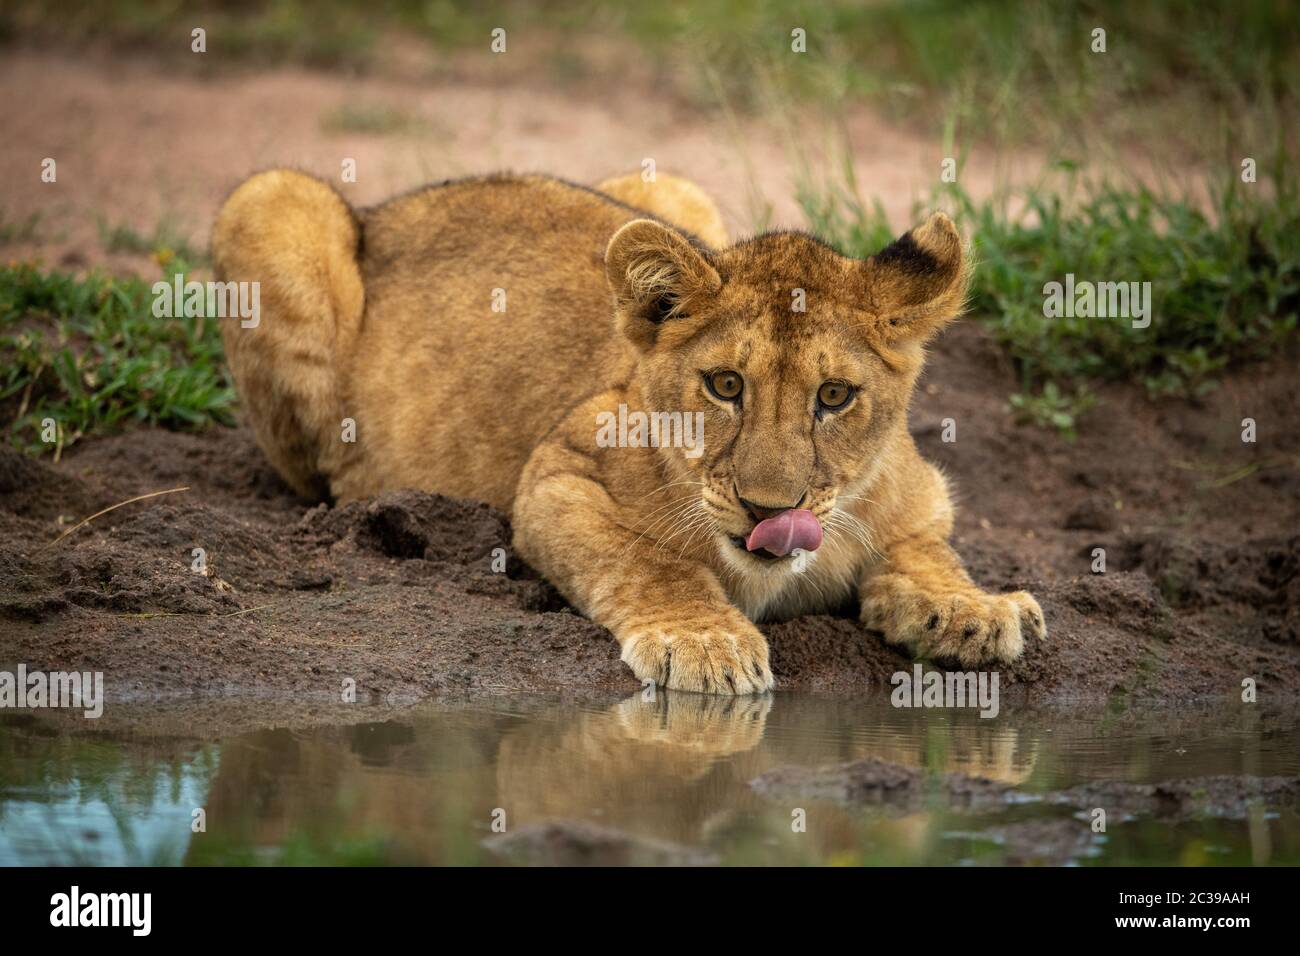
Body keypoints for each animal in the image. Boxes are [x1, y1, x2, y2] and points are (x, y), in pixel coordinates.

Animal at [212, 169, 1045, 695]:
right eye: (725, 386)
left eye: (835, 397)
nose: (770, 512)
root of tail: (387, 207)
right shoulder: (556, 475)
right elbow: (650, 564)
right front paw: (705, 642)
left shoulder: (920, 499)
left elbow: (928, 552)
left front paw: (976, 609)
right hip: (269, 200)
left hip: (674, 187)